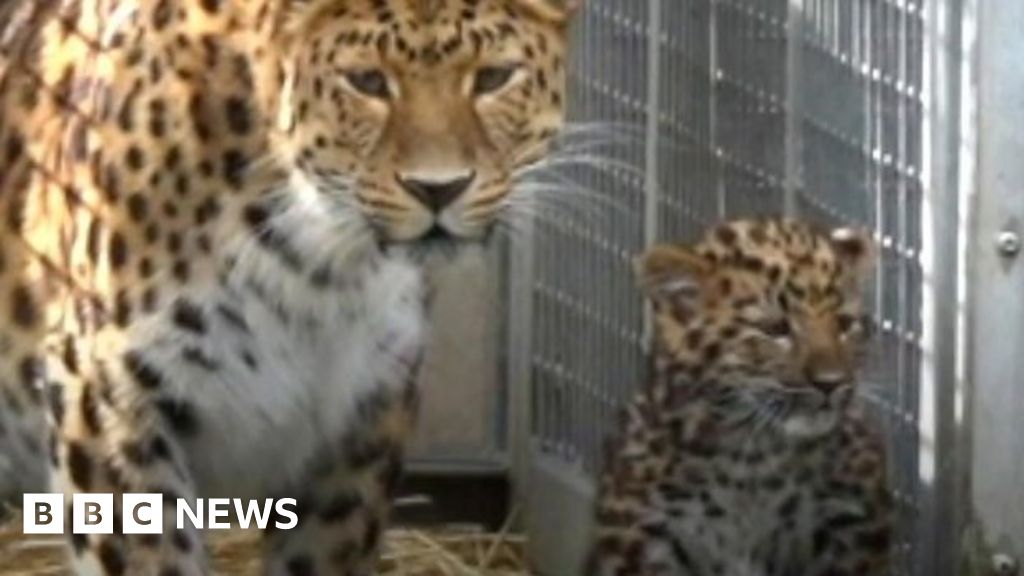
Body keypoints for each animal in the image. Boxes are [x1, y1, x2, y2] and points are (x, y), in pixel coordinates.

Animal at [0, 0, 580, 573]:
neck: (318, 266)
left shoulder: (363, 414)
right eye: (367, 81)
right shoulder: (108, 401)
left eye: (494, 77)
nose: (438, 189)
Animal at [586, 218, 893, 576]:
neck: (754, 459)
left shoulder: (851, 528)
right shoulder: (645, 535)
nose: (831, 382)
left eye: (844, 324)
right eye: (776, 329)